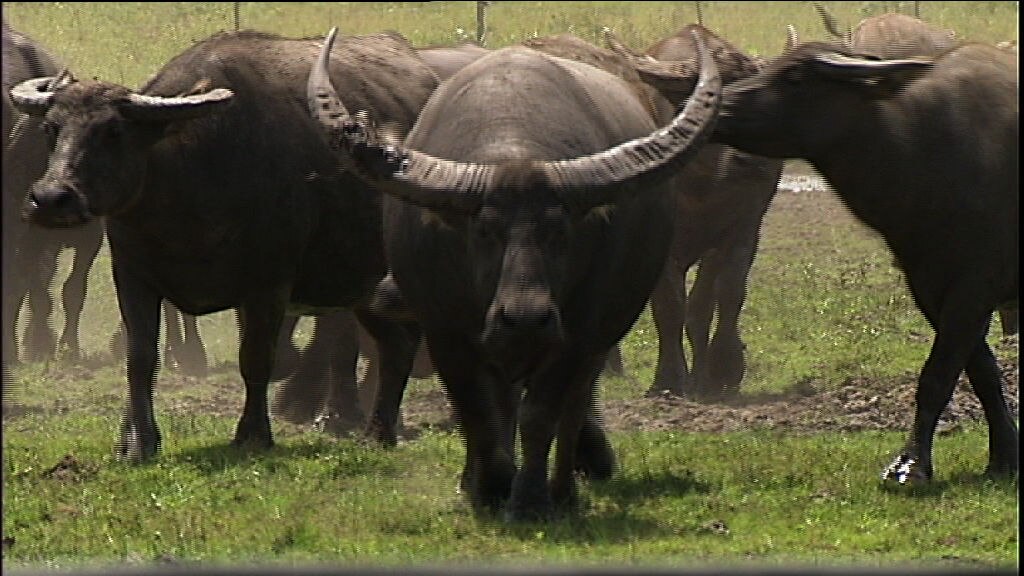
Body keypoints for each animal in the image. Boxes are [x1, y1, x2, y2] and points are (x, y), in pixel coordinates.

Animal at [10, 29, 437, 461]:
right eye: (51, 129)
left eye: (113, 132)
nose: (50, 199)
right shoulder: (132, 275)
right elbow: (140, 356)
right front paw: (137, 442)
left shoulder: (269, 284)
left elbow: (257, 358)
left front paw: (253, 434)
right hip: (360, 286)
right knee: (395, 345)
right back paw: (378, 430)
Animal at [309, 27, 721, 518]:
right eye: (485, 231)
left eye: (559, 232)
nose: (524, 317)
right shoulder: (446, 332)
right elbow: (476, 407)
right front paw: (488, 485)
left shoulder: (577, 335)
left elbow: (541, 413)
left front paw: (529, 498)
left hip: (598, 334)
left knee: (575, 403)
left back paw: (565, 488)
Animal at [711, 40, 1017, 484]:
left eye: (795, 77)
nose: (720, 104)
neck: (919, 148)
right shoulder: (928, 284)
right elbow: (983, 373)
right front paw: (1004, 457)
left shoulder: (975, 285)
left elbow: (938, 374)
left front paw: (910, 465)